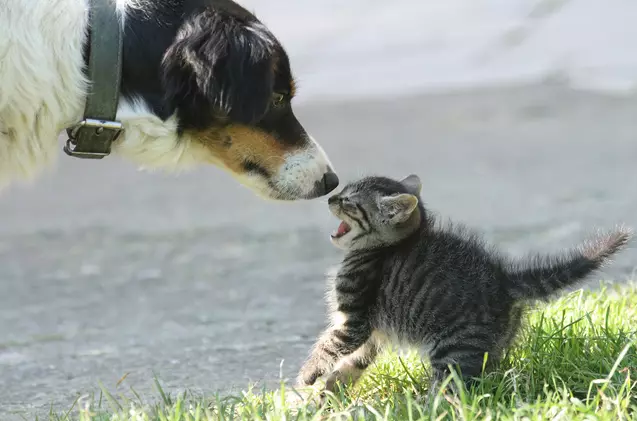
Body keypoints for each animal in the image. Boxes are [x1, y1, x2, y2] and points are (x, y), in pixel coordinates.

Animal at [296, 174, 628, 398]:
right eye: (343, 192)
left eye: (350, 202)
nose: (330, 198)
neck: (378, 250)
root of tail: (503, 280)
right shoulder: (373, 333)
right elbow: (351, 364)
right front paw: (328, 396)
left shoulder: (354, 321)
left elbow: (328, 346)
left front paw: (306, 377)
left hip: (453, 351)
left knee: (449, 394)